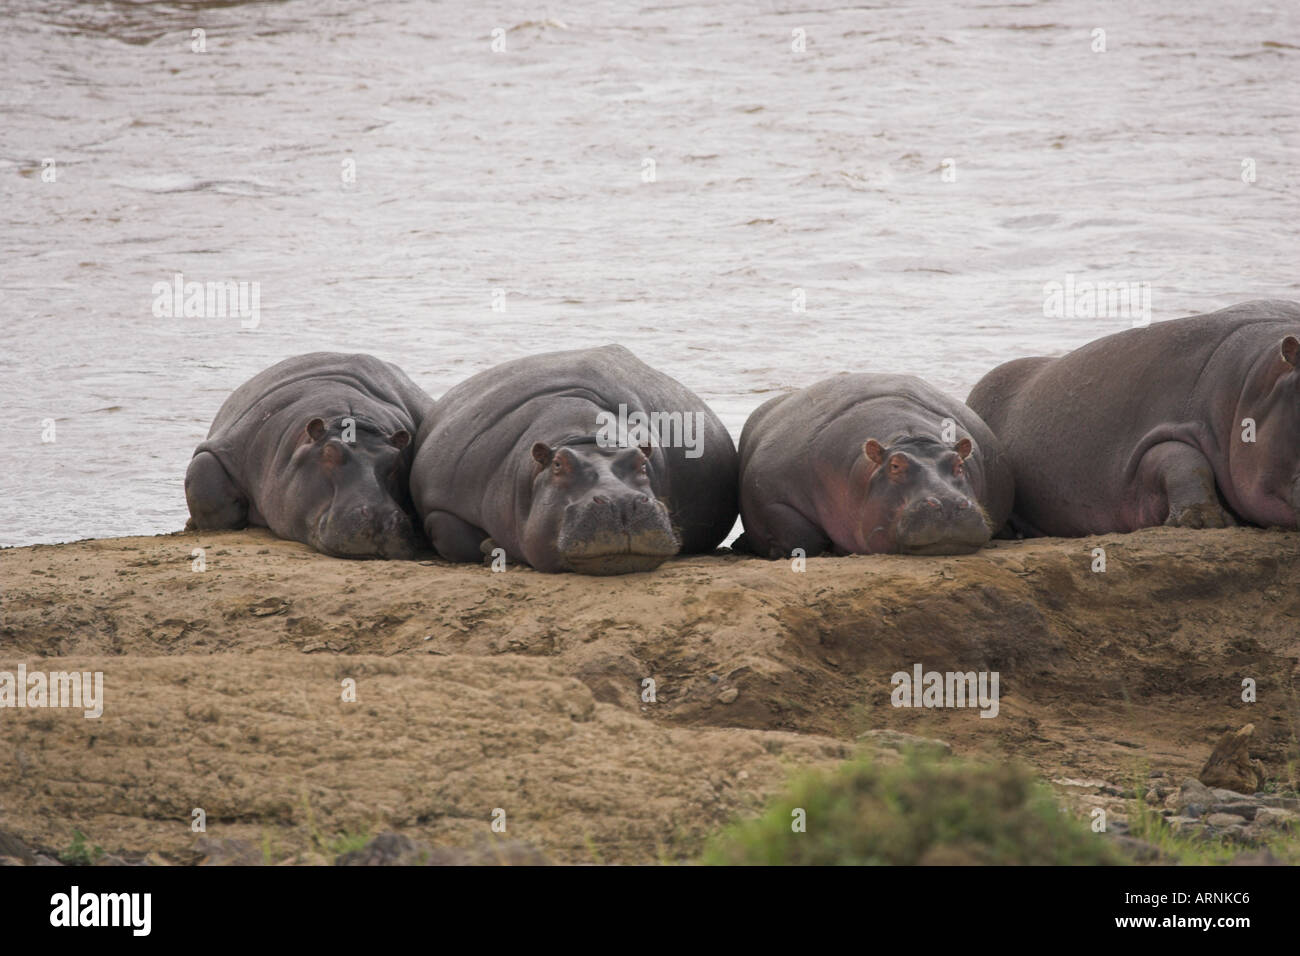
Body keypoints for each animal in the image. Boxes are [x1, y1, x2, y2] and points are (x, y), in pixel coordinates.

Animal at [185, 352, 434, 558]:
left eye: (396, 462)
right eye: (329, 452)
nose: (379, 518)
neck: (354, 420)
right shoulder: (228, 444)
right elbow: (206, 483)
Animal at [410, 345, 738, 574]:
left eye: (641, 462)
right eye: (559, 464)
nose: (621, 503)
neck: (586, 436)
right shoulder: (441, 507)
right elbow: (454, 537)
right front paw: (492, 545)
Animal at [736, 374, 1013, 557]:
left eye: (959, 464)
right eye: (895, 466)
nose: (948, 504)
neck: (910, 438)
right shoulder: (771, 499)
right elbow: (803, 538)